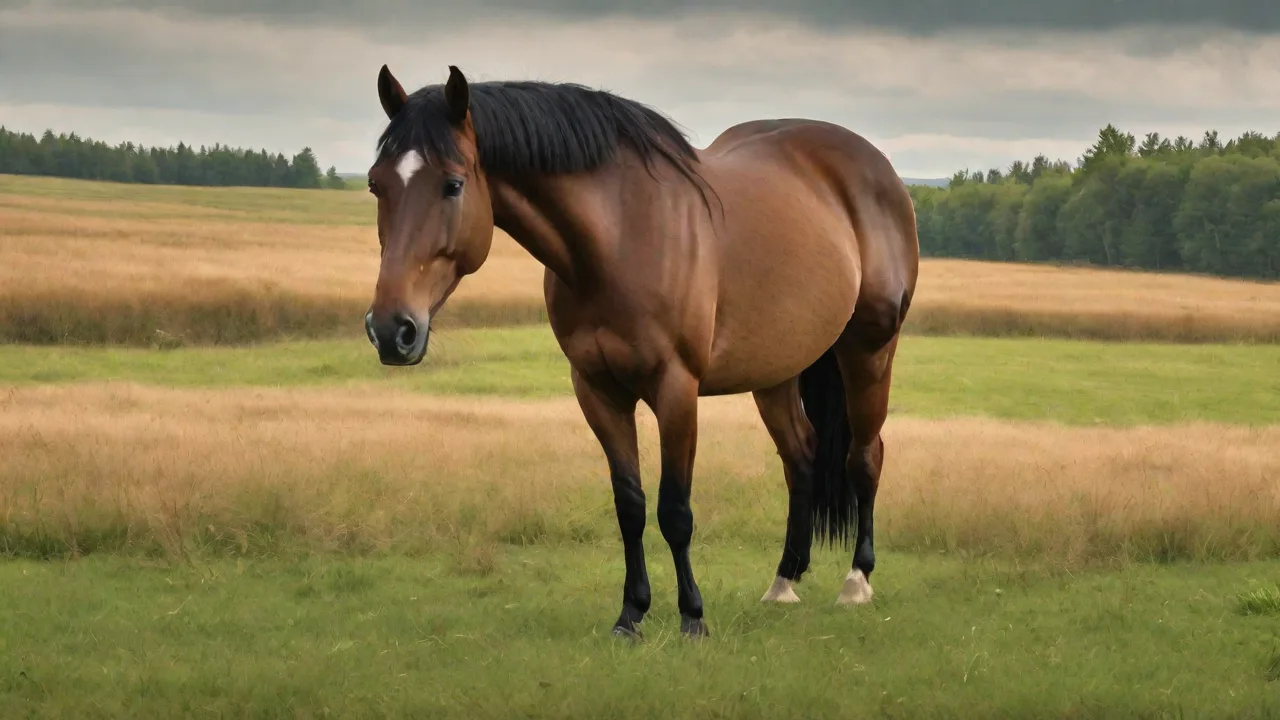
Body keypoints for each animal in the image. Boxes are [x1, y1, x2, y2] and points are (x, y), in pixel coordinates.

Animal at [363, 64, 919, 640]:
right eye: (376, 183)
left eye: (452, 184)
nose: (391, 329)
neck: (619, 239)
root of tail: (875, 167)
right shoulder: (597, 389)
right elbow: (629, 504)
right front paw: (631, 614)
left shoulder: (676, 389)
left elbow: (675, 509)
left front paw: (692, 616)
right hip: (777, 371)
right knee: (802, 457)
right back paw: (784, 580)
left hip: (869, 351)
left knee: (865, 457)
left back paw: (857, 581)